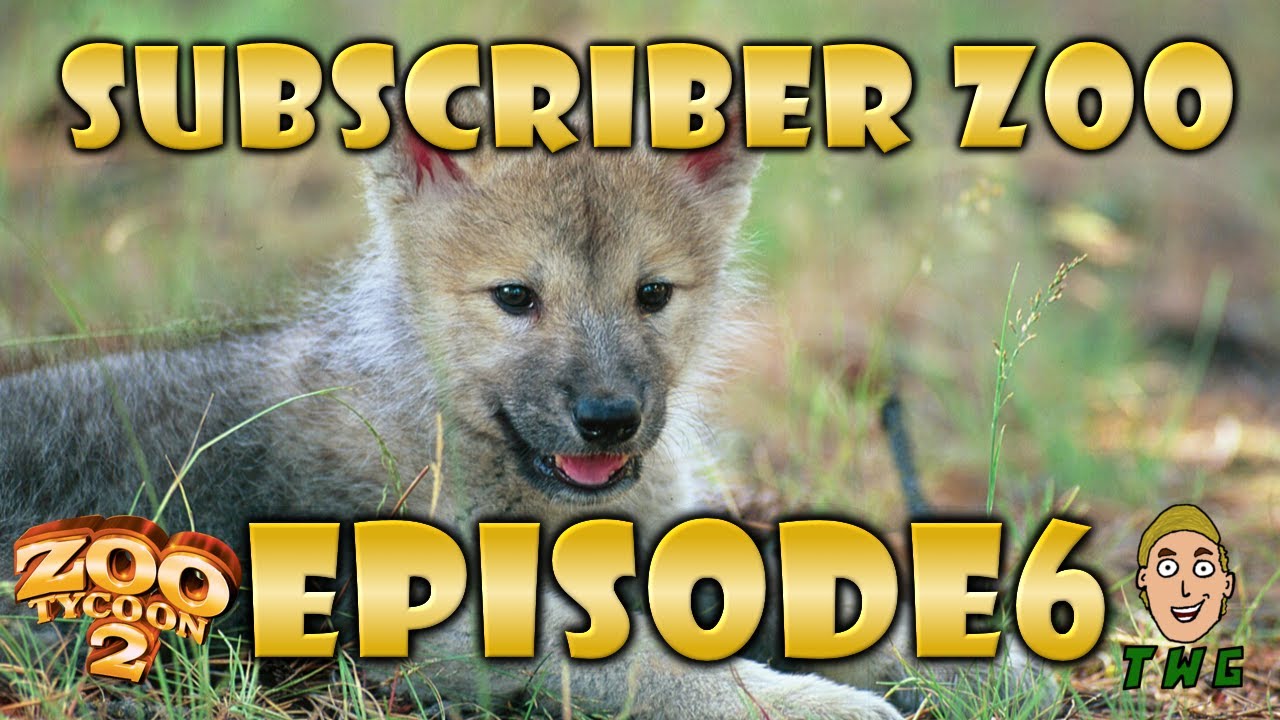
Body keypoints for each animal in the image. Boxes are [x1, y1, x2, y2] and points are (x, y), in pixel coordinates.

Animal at [1, 99, 1038, 718]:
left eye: (653, 295)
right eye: (514, 298)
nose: (609, 418)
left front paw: (962, 652)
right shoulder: (445, 633)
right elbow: (660, 670)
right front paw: (810, 704)